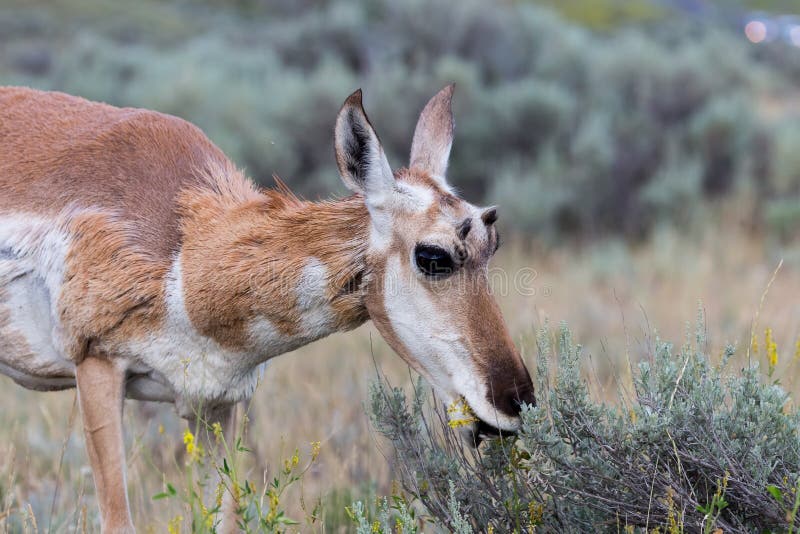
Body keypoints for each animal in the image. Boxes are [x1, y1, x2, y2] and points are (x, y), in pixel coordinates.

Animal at [0, 84, 535, 532]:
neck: (187, 248)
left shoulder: (214, 404)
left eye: (493, 243)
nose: (518, 402)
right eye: (433, 256)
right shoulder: (97, 368)